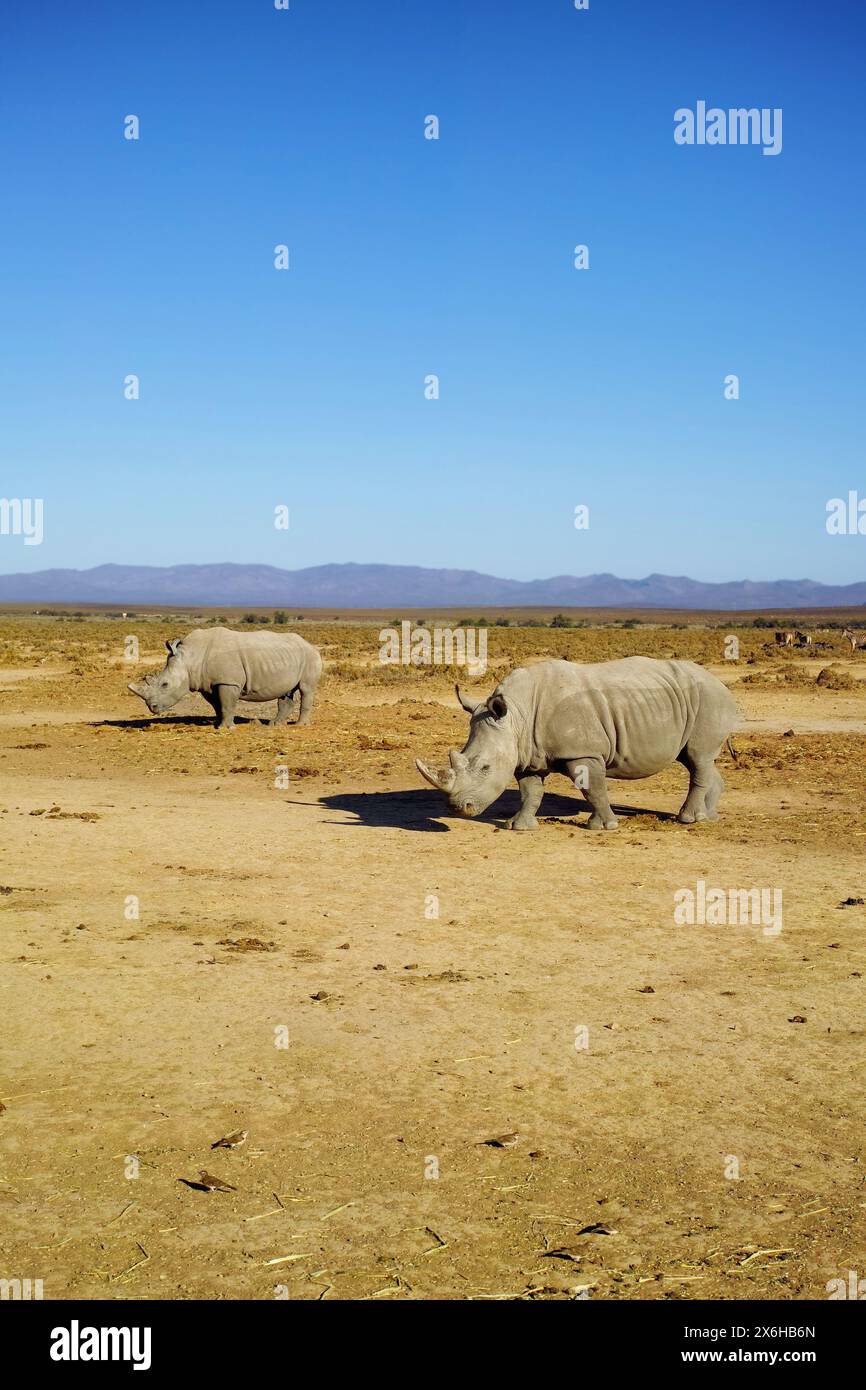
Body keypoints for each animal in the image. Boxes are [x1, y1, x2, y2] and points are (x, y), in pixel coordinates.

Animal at [127, 627, 322, 730]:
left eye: (165, 684)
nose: (152, 708)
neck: (190, 657)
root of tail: (309, 644)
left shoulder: (228, 681)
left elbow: (227, 704)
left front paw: (226, 728)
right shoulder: (208, 683)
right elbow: (217, 705)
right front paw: (217, 724)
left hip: (310, 656)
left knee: (306, 689)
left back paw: (300, 725)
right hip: (287, 658)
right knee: (285, 692)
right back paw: (274, 725)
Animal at [416, 656, 738, 831]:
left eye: (485, 767)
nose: (458, 808)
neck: (517, 714)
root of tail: (722, 684)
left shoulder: (584, 752)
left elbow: (593, 789)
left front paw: (603, 827)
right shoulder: (526, 755)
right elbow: (530, 792)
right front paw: (518, 826)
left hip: (709, 700)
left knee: (697, 758)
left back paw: (687, 820)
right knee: (697, 759)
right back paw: (708, 818)